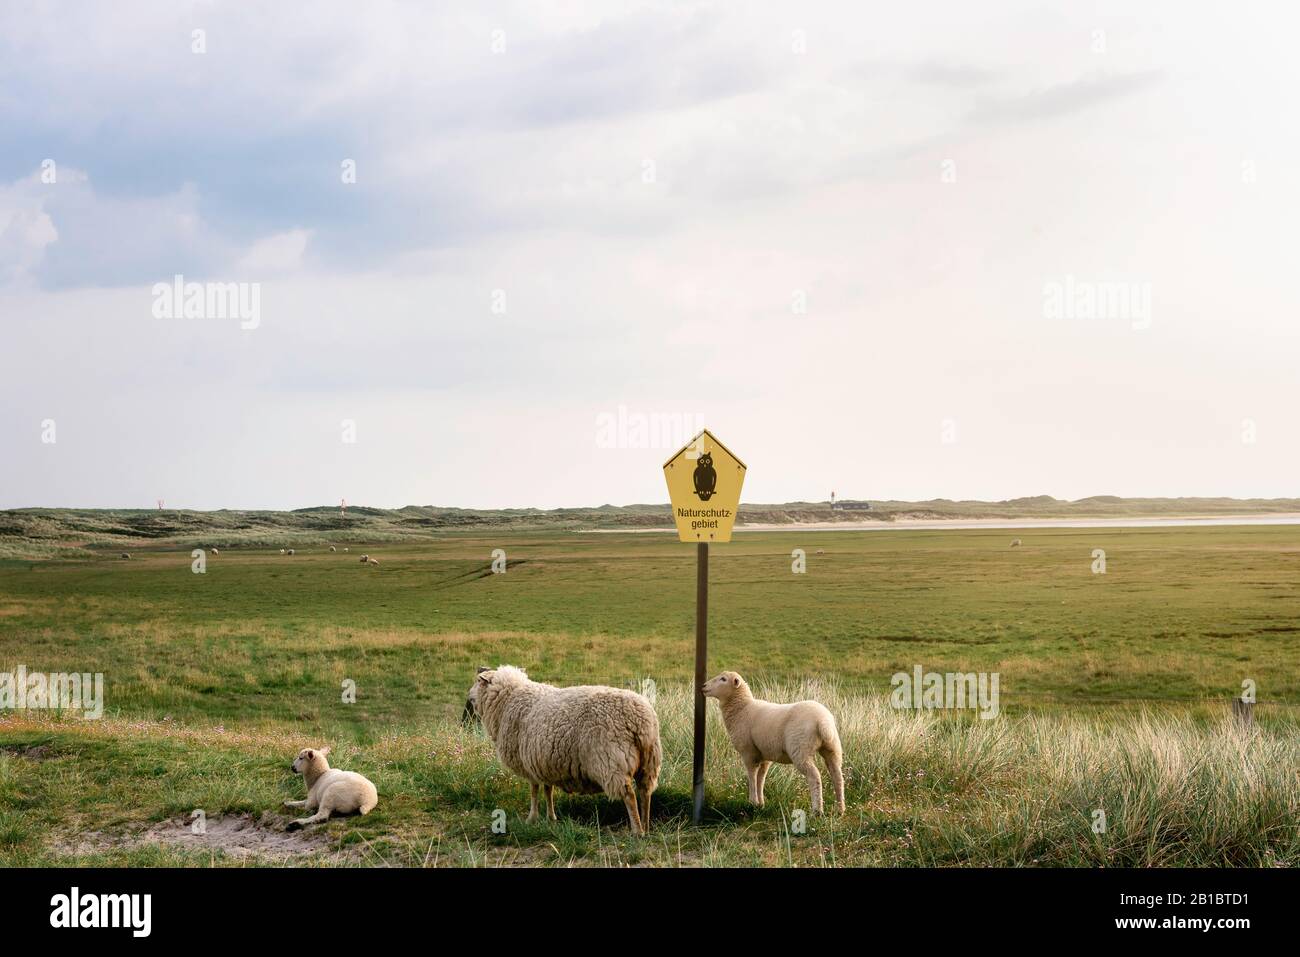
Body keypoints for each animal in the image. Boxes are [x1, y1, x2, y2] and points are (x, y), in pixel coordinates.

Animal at [468, 665, 661, 835]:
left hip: (610, 760)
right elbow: (548, 790)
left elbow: (534, 791)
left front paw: (531, 818)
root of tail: (640, 719)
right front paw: (551, 817)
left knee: (629, 795)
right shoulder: (543, 763)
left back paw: (637, 831)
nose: (469, 696)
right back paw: (646, 826)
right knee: (645, 792)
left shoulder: (529, 765)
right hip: (649, 761)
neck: (508, 700)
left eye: (478, 681)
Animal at [702, 670, 845, 815]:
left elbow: (752, 776)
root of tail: (822, 721)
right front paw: (760, 804)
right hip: (833, 748)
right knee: (837, 776)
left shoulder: (748, 752)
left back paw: (817, 811)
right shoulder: (764, 754)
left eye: (723, 679)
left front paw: (752, 802)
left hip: (800, 750)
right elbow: (761, 777)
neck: (742, 709)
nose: (703, 686)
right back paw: (840, 809)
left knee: (814, 777)